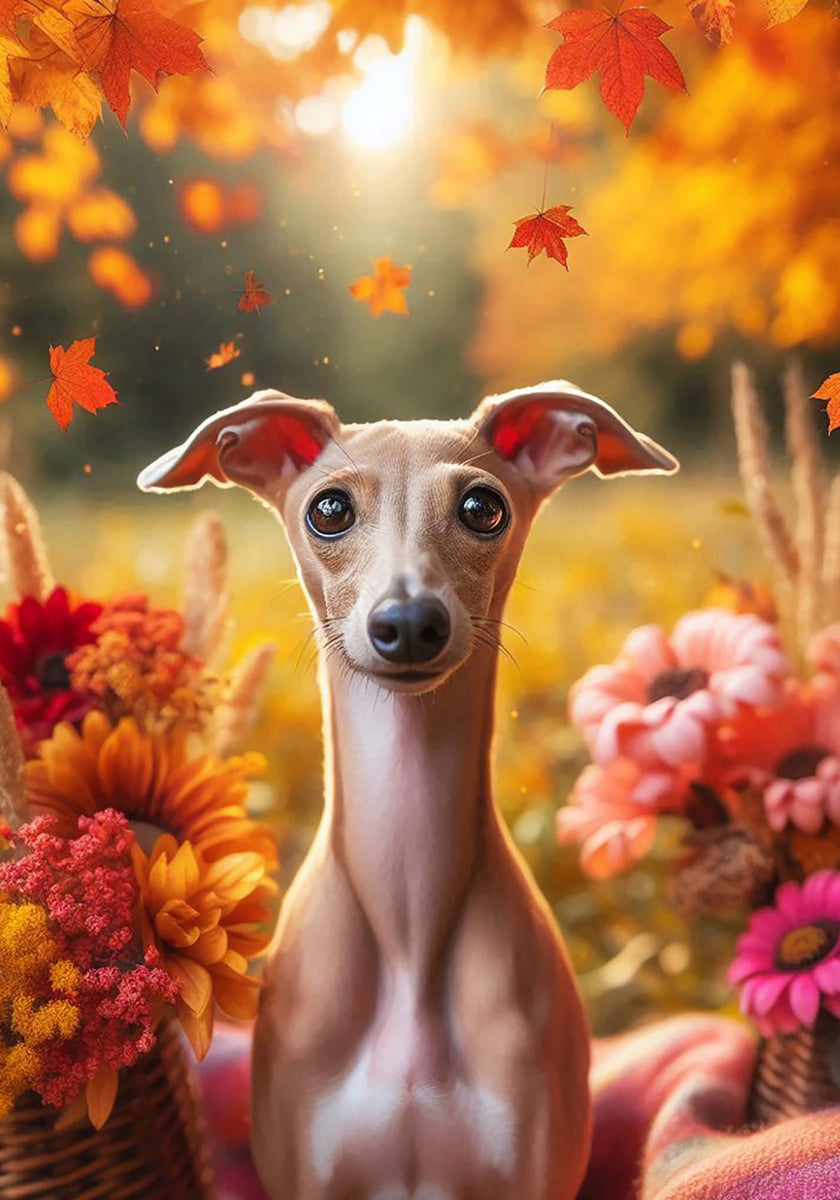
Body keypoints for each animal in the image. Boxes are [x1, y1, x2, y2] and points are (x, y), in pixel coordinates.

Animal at [138, 381, 678, 1200]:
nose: (410, 623)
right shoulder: (309, 1171)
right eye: (329, 508)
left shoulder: (532, 1164)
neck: (409, 920)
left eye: (483, 506)